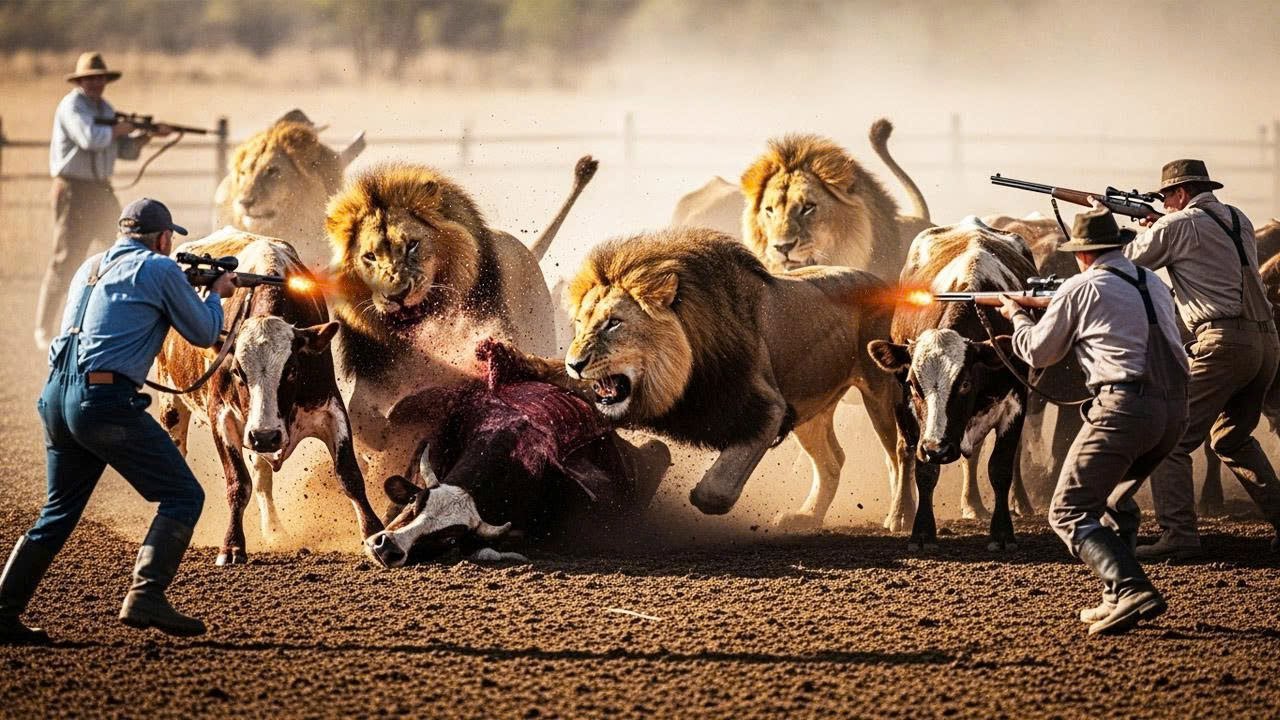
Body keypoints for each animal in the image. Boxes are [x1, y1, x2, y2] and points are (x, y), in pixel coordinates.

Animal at [325, 157, 597, 484]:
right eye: (370, 256)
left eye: (412, 244)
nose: (398, 294)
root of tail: (524, 247)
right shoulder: (375, 379)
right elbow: (359, 419)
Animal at [494, 227, 903, 529]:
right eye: (580, 323)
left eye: (614, 323)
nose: (576, 362)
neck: (678, 376)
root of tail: (880, 280)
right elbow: (562, 378)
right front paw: (512, 358)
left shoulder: (770, 407)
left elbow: (719, 484)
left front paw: (700, 498)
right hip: (811, 407)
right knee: (833, 460)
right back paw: (806, 518)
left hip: (882, 393)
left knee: (899, 457)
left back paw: (898, 518)